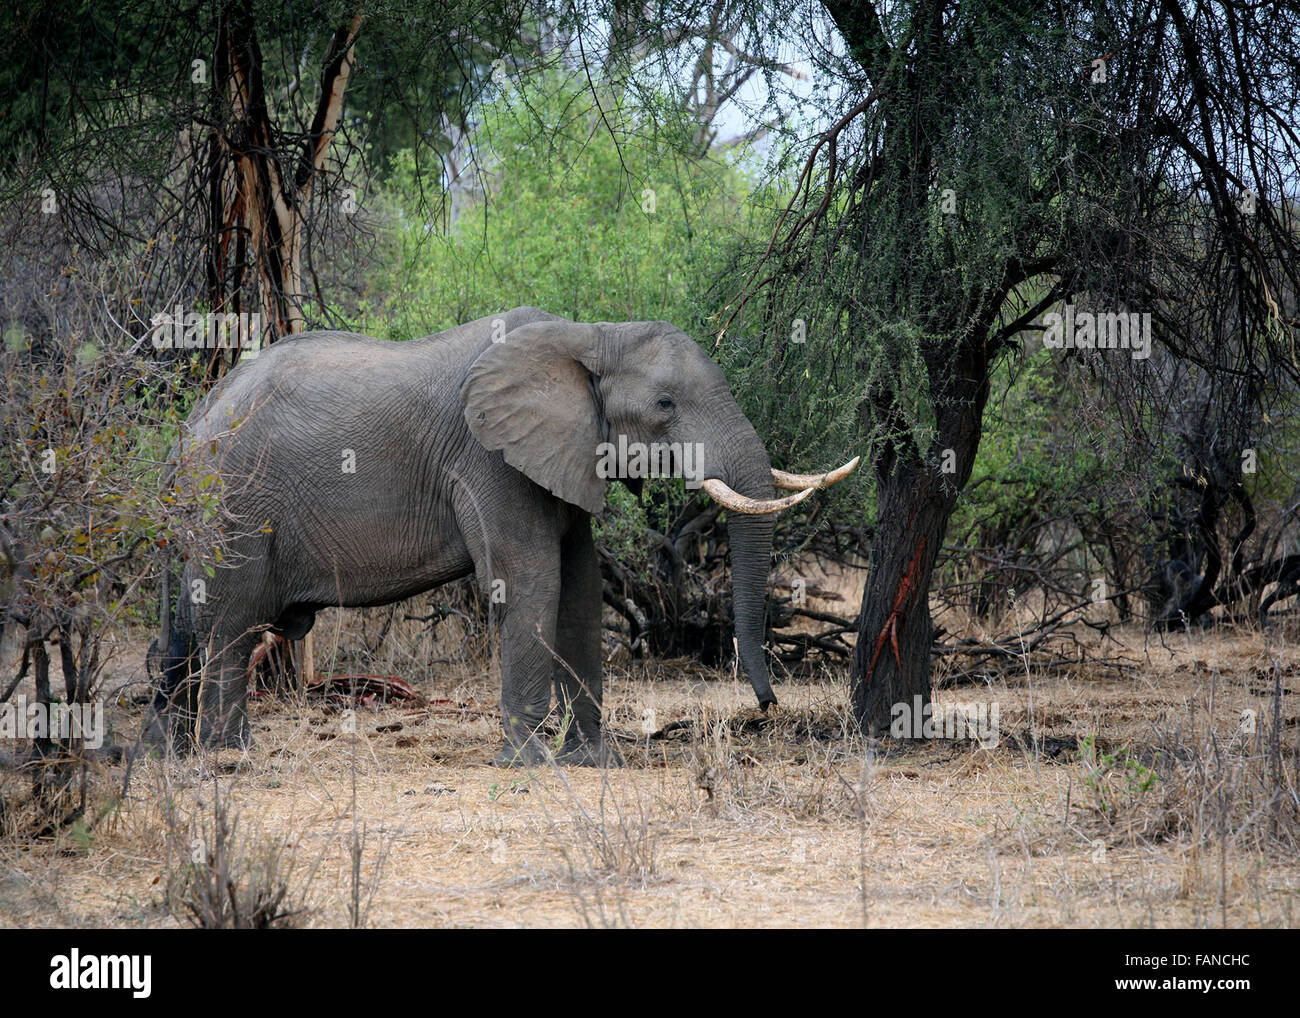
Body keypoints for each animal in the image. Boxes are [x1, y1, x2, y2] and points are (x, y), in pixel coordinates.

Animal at [146, 306, 856, 764]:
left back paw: (166, 755)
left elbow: (577, 590)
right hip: (235, 503)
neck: (589, 335)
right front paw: (532, 761)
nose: (767, 706)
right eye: (665, 406)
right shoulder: (491, 458)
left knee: (185, 620)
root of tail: (188, 428)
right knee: (231, 621)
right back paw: (229, 757)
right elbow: (530, 581)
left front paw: (594, 761)